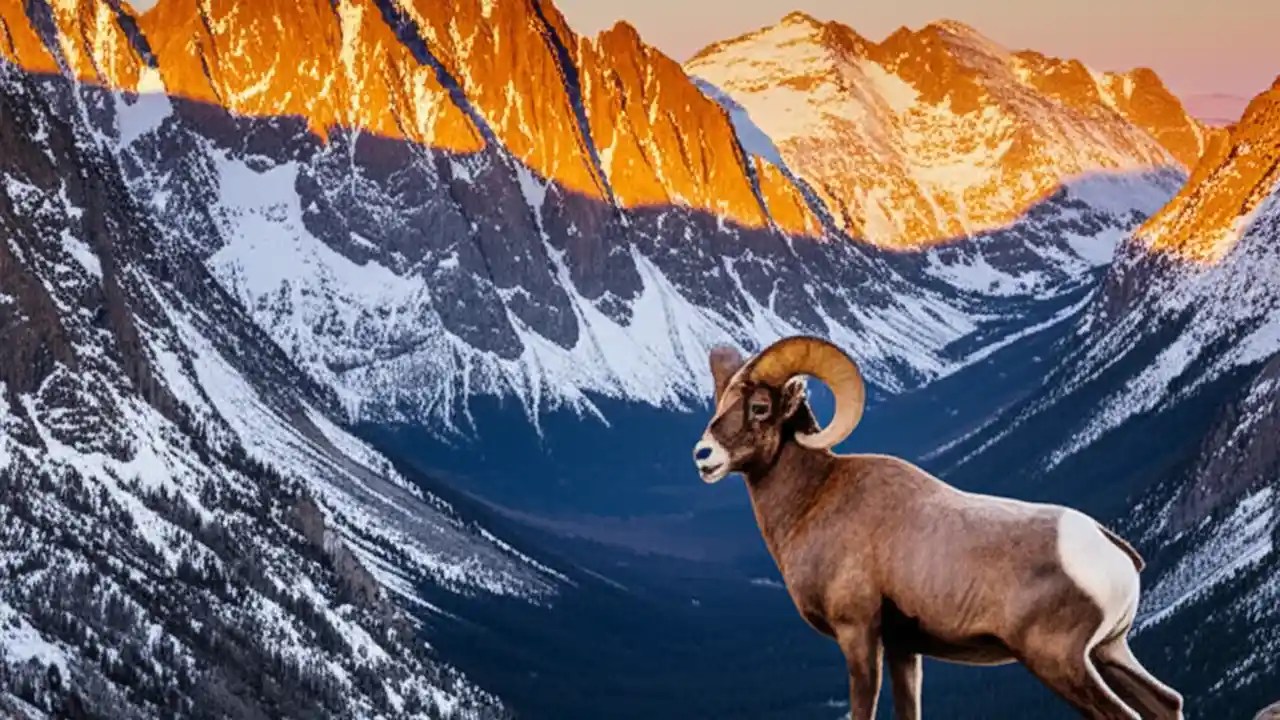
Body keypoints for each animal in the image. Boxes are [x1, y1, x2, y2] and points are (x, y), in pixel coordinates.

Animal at [691, 336, 1184, 720]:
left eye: (759, 407)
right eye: (721, 404)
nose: (703, 456)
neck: (815, 499)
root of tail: (1113, 551)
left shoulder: (858, 635)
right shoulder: (905, 649)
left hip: (1060, 662)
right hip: (1110, 652)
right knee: (1168, 703)